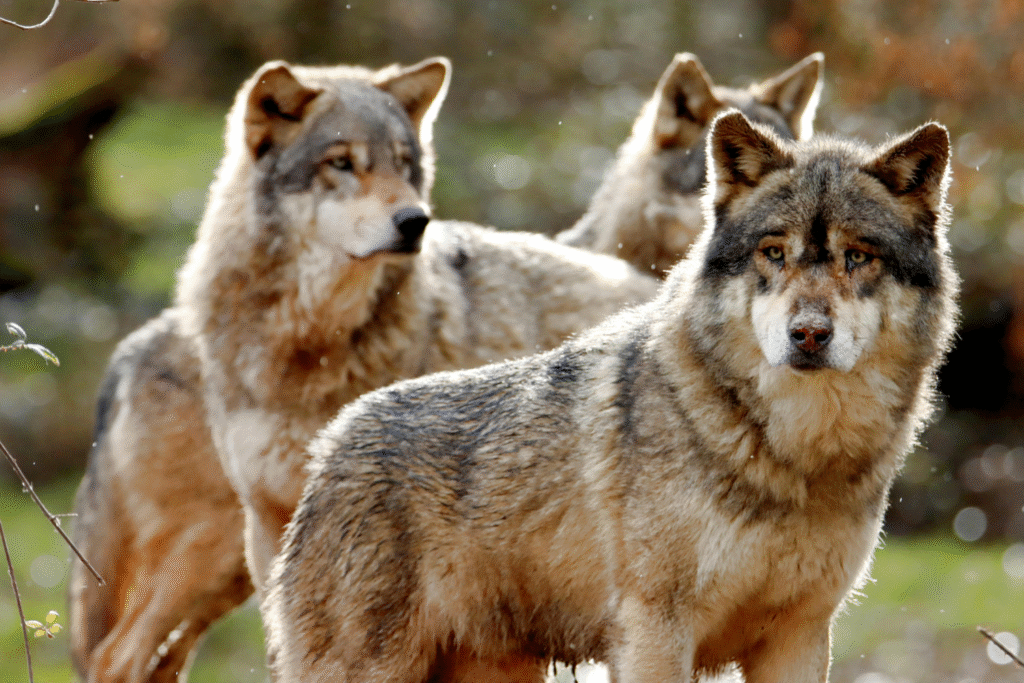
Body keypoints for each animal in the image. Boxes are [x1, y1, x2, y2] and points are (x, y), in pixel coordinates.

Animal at [69, 56, 659, 683]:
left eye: (405, 164)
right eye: (342, 163)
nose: (415, 221)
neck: (306, 351)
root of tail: (130, 349)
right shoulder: (275, 525)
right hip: (212, 557)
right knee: (117, 657)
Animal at [262, 111, 958, 683]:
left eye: (858, 257)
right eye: (774, 253)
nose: (809, 335)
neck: (792, 457)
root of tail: (332, 442)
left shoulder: (800, 637)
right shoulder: (655, 631)